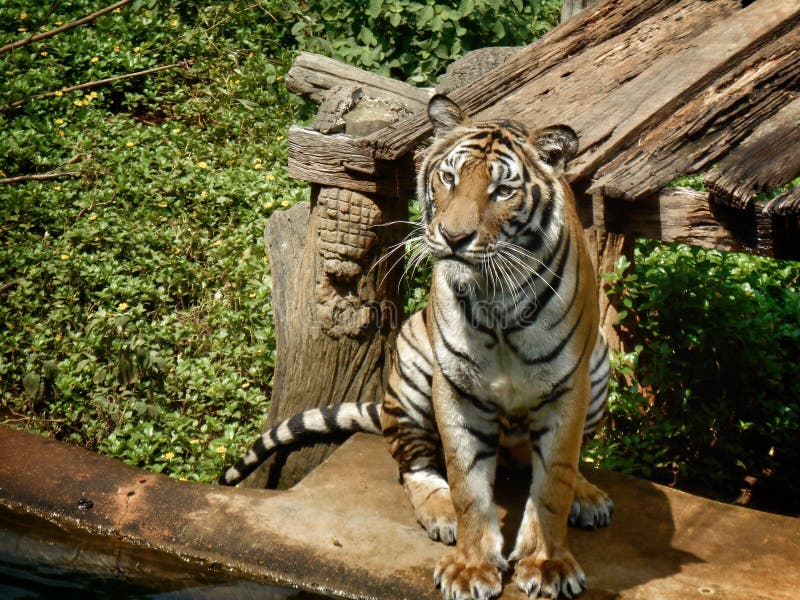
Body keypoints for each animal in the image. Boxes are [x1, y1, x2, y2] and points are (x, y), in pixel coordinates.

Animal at [219, 94, 613, 600]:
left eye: (503, 191)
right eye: (449, 178)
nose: (454, 238)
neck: (496, 299)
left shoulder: (568, 387)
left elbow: (552, 485)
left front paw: (547, 565)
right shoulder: (457, 388)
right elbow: (468, 485)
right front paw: (471, 567)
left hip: (598, 362)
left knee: (544, 463)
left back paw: (587, 495)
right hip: (411, 365)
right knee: (413, 467)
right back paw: (441, 512)